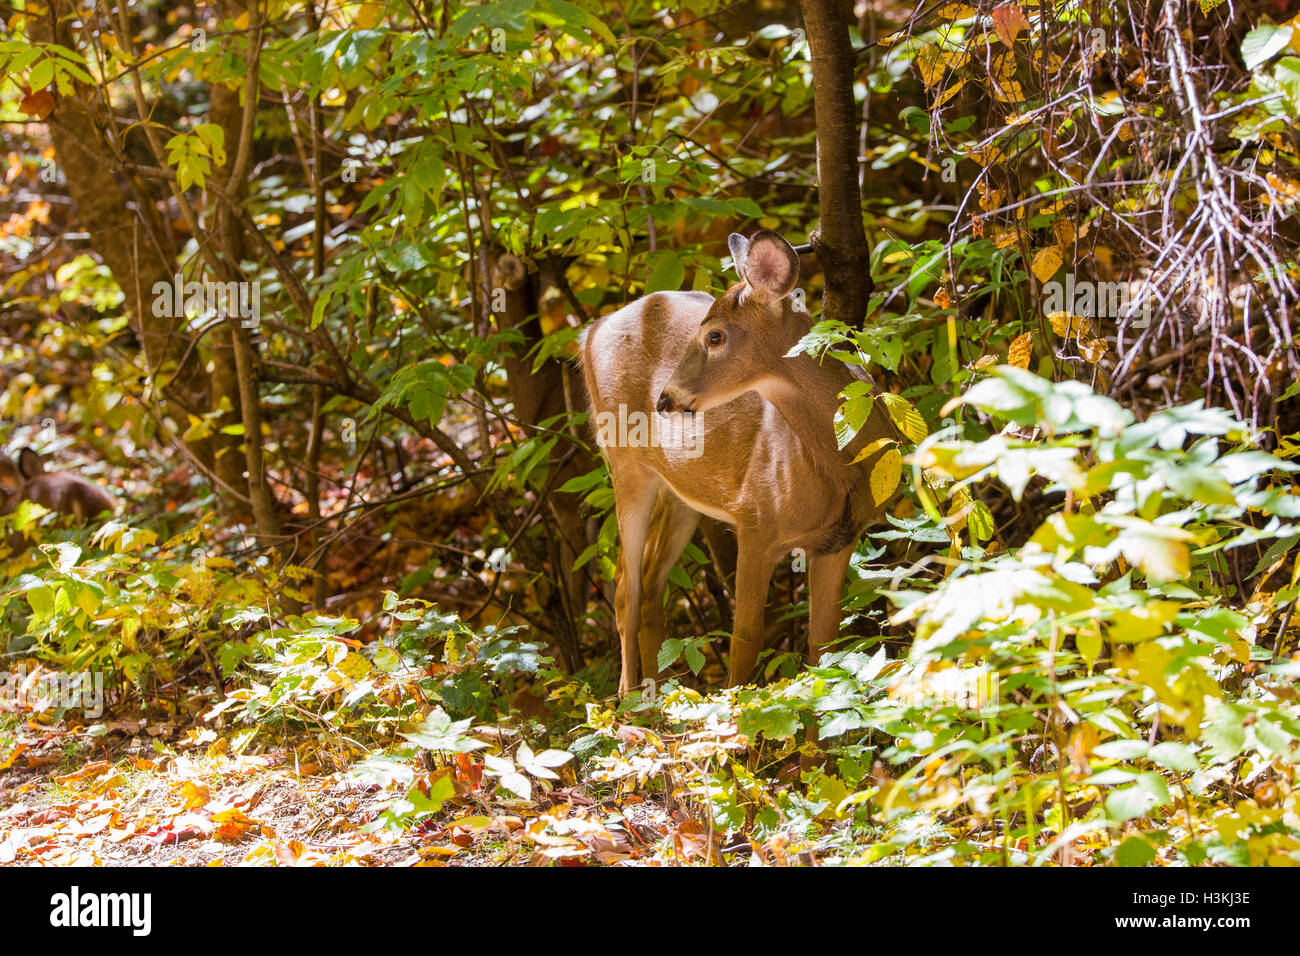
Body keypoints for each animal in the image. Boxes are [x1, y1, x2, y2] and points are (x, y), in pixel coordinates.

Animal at [582, 228, 897, 695]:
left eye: (714, 336)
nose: (665, 399)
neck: (839, 472)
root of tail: (591, 329)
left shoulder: (840, 538)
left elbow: (824, 645)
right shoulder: (756, 521)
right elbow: (745, 641)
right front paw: (739, 708)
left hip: (681, 490)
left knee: (653, 583)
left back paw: (657, 697)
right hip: (625, 462)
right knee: (626, 588)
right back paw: (626, 699)